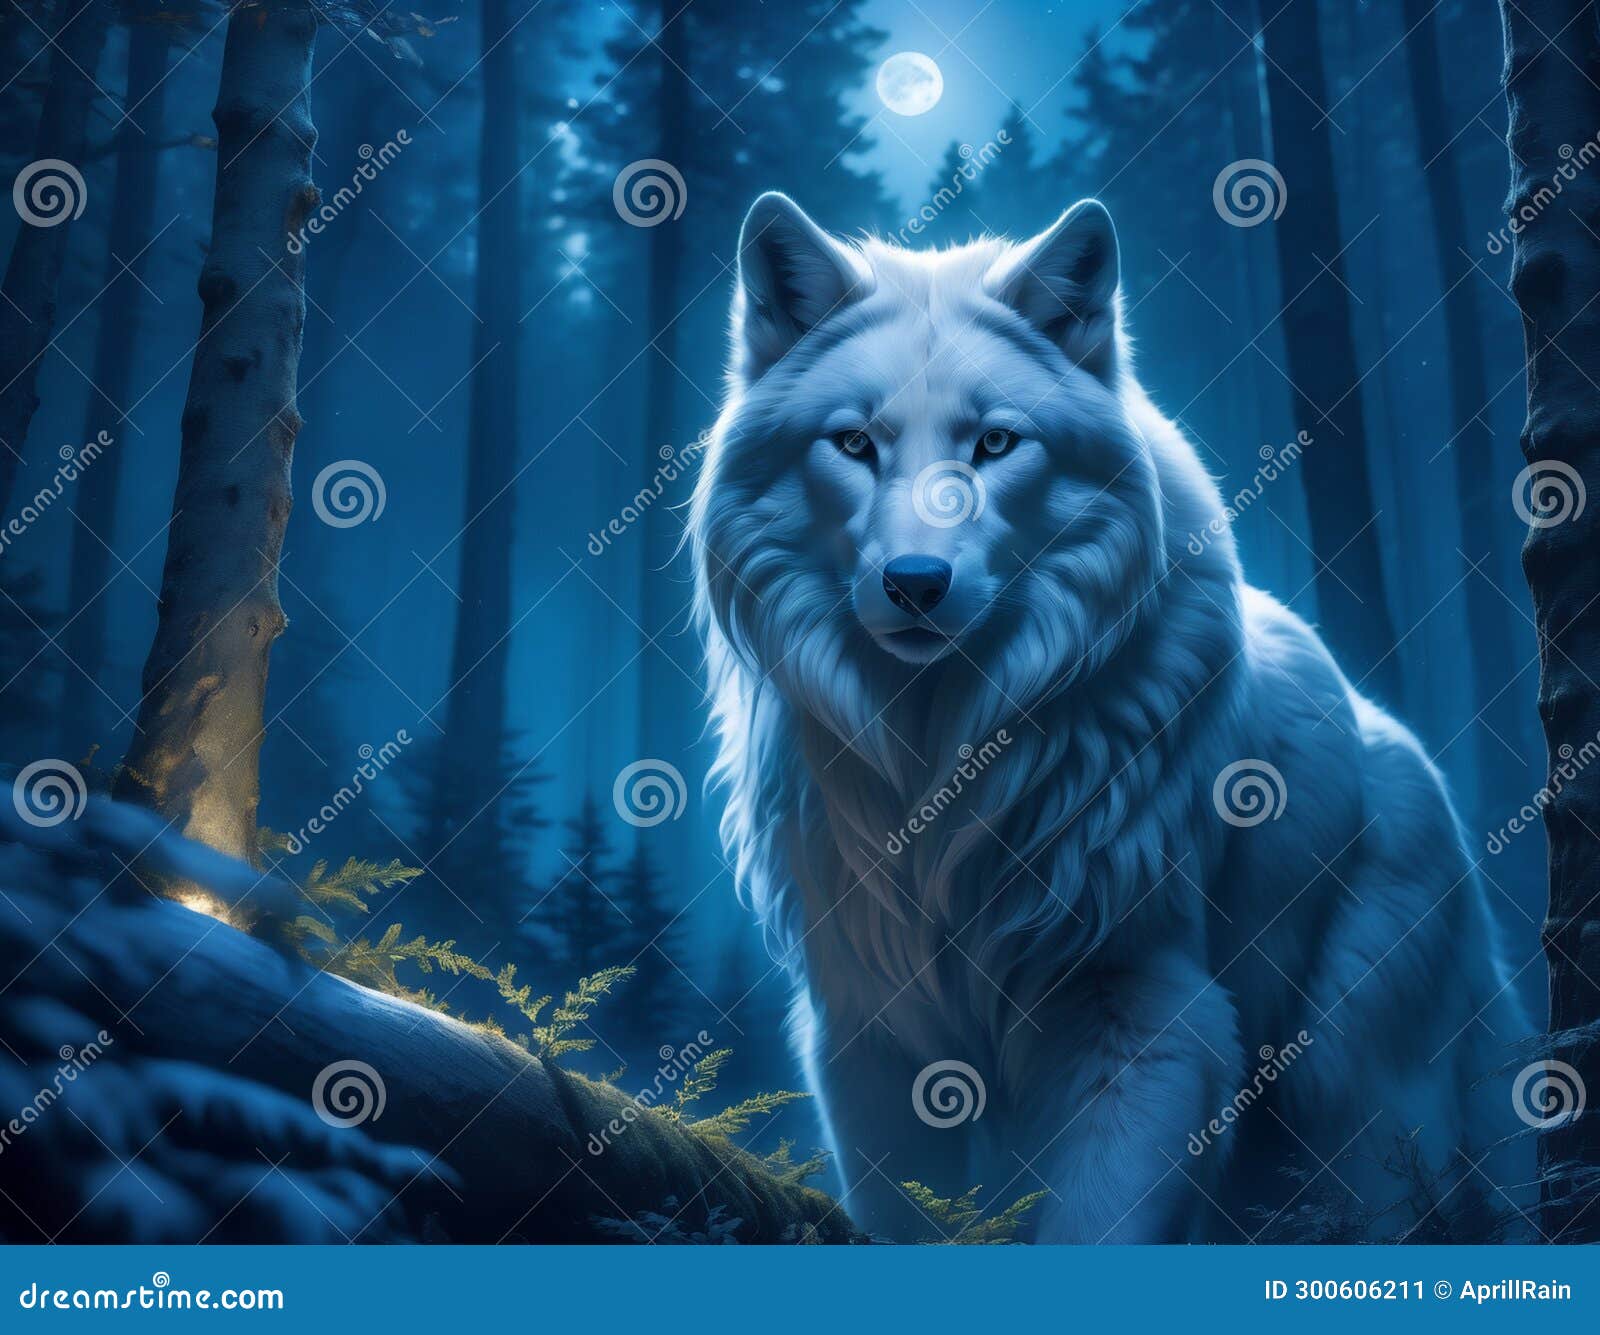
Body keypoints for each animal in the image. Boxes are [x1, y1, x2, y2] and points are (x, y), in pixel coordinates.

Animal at [688, 193, 1530, 1243]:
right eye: (854, 444)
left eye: (994, 443)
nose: (917, 583)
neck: (942, 754)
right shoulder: (870, 1040)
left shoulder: (1144, 1013)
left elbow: (1096, 1222)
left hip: (1355, 1111)